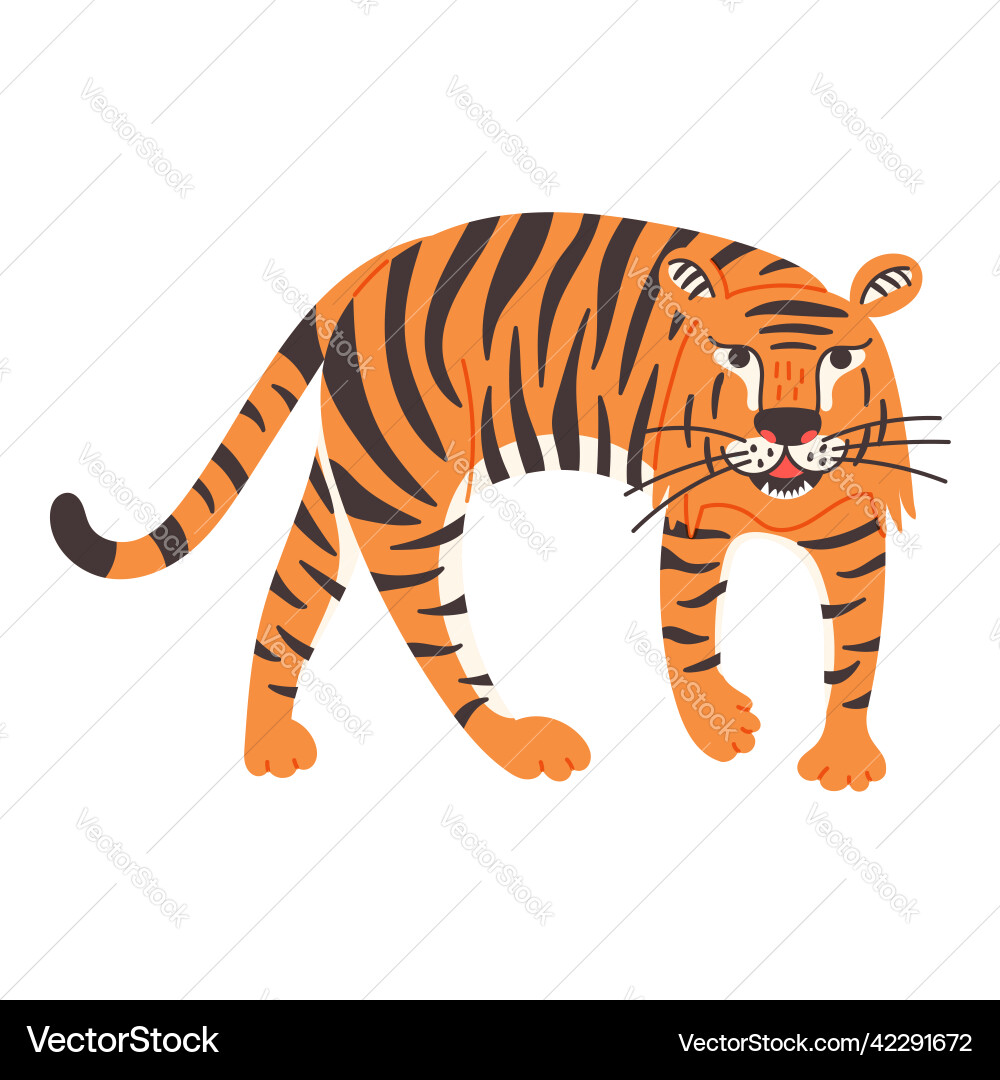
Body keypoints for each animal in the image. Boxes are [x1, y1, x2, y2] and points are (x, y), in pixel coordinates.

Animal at [50, 213, 946, 792]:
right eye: (737, 358)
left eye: (840, 361)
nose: (789, 429)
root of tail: (366, 269)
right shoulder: (693, 528)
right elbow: (690, 631)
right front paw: (721, 730)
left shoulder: (854, 538)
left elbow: (856, 651)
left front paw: (842, 758)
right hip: (404, 488)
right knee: (437, 636)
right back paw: (523, 746)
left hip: (346, 478)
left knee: (296, 588)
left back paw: (270, 750)